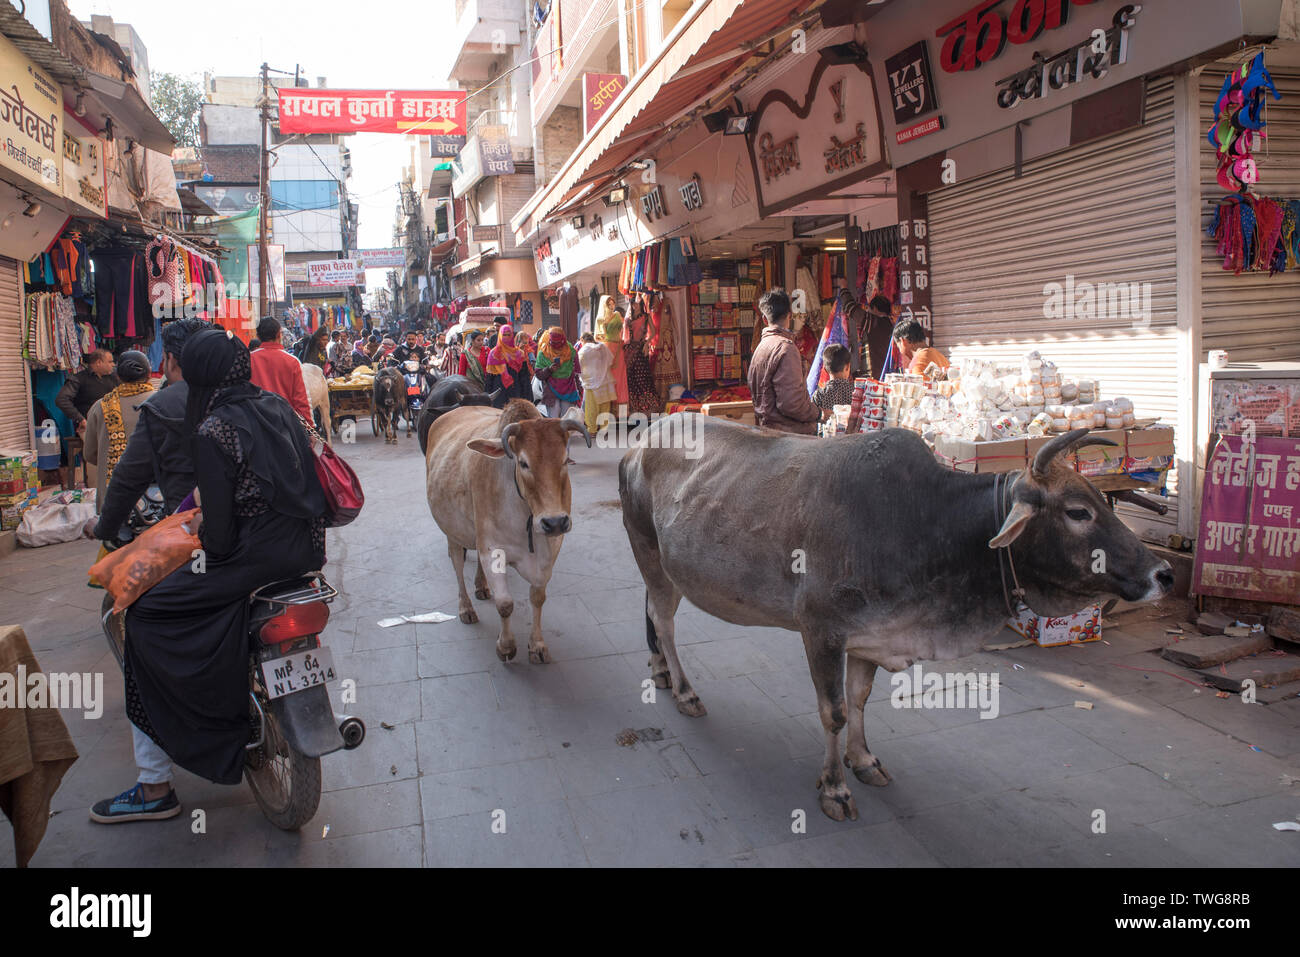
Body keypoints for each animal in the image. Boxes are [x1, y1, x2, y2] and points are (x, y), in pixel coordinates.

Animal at [425, 399, 590, 664]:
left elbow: (538, 597)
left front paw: (537, 645)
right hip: (452, 531)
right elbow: (505, 604)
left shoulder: (549, 551)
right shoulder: (491, 548)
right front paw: (506, 646)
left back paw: (482, 586)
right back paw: (466, 607)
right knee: (457, 565)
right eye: (523, 463)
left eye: (565, 459)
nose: (554, 522)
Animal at [618, 421, 1174, 822]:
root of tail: (640, 442)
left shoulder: (871, 637)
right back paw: (684, 691)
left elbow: (861, 700)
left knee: (651, 612)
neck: (925, 522)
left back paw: (660, 673)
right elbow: (835, 711)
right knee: (664, 622)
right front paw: (835, 789)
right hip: (649, 553)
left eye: (1104, 502)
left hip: (660, 566)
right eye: (1078, 511)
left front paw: (864, 761)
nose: (1163, 573)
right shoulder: (821, 630)